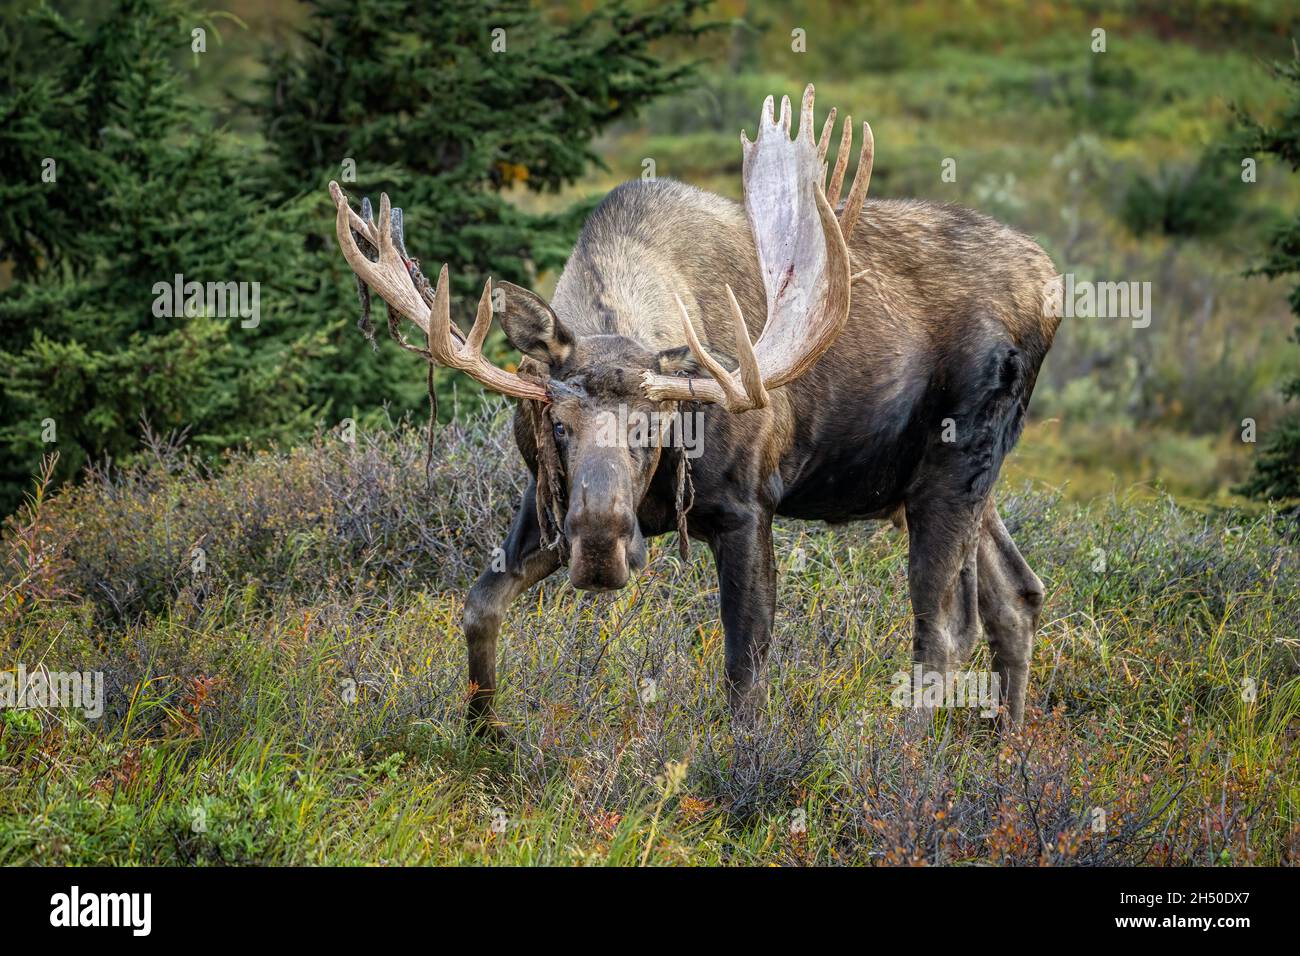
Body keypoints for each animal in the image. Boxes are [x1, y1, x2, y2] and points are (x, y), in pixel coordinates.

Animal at [329, 85, 1059, 735]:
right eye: (559, 426)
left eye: (654, 425)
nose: (599, 546)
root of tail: (1052, 284)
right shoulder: (545, 503)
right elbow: (479, 607)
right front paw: (485, 737)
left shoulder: (747, 508)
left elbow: (744, 672)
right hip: (945, 482)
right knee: (1018, 596)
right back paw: (1007, 744)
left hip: (956, 464)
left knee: (945, 629)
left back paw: (905, 758)